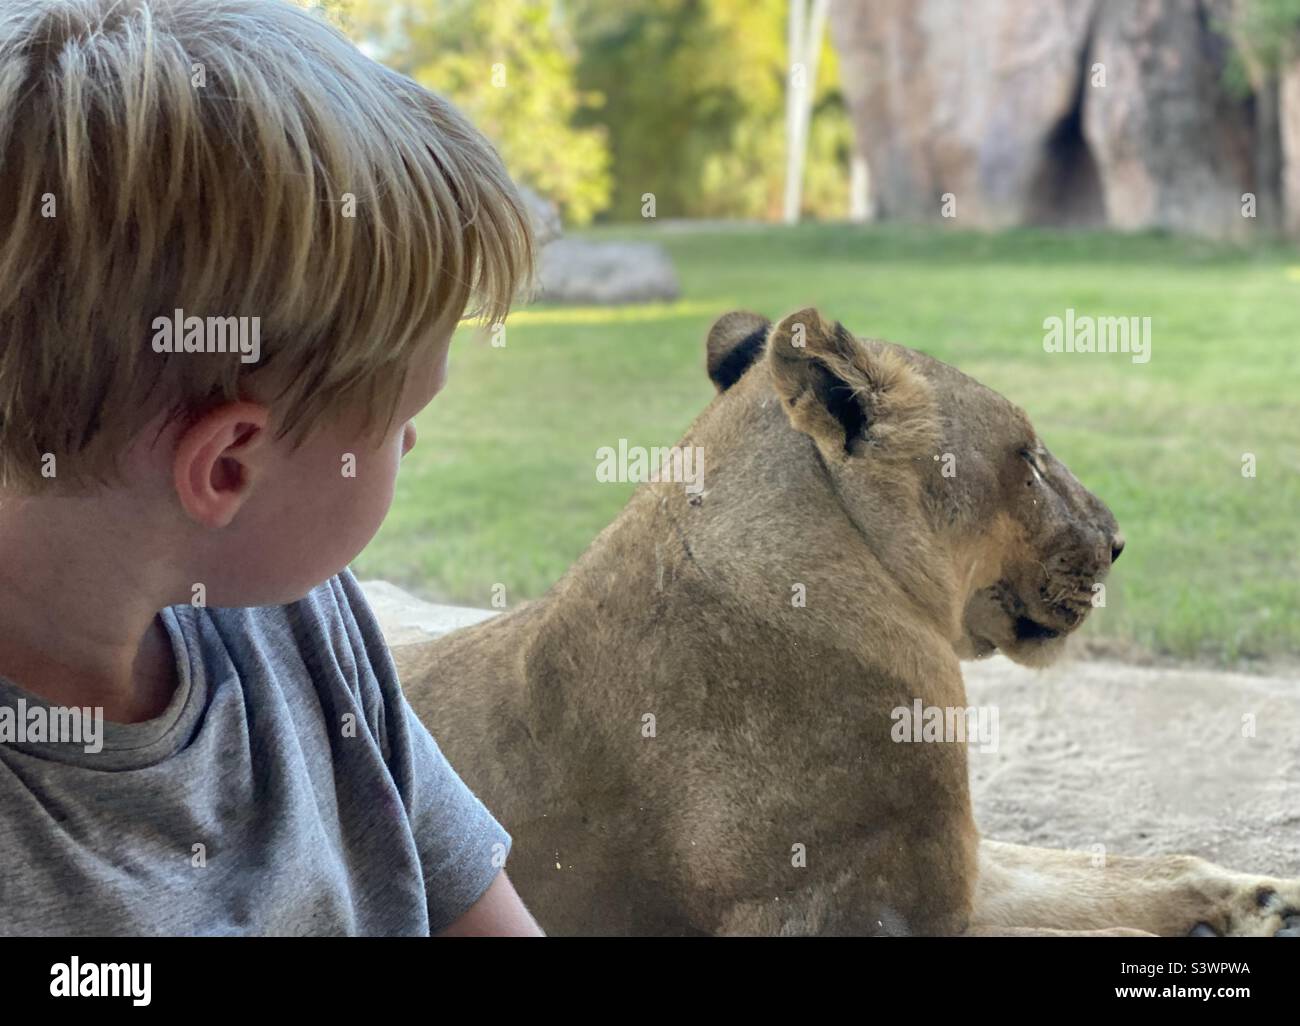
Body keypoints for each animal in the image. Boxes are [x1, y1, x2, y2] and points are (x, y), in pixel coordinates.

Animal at [393, 307, 1300, 936]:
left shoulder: (955, 866)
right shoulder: (837, 913)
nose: (1118, 543)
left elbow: (1110, 873)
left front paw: (1267, 899)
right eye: (1031, 459)